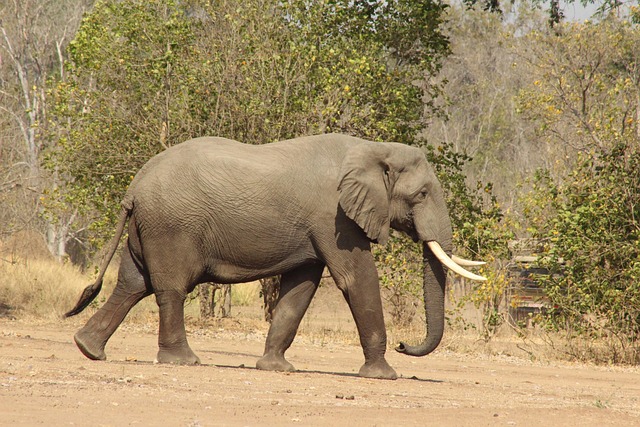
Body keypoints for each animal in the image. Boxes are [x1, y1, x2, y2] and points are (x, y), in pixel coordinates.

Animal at [65, 133, 486, 380]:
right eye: (421, 195)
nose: (404, 344)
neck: (373, 148)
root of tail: (132, 188)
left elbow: (301, 286)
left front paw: (276, 368)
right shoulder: (334, 216)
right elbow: (356, 277)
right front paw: (383, 375)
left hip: (148, 227)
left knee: (132, 284)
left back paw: (88, 349)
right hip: (171, 226)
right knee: (169, 289)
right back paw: (183, 362)